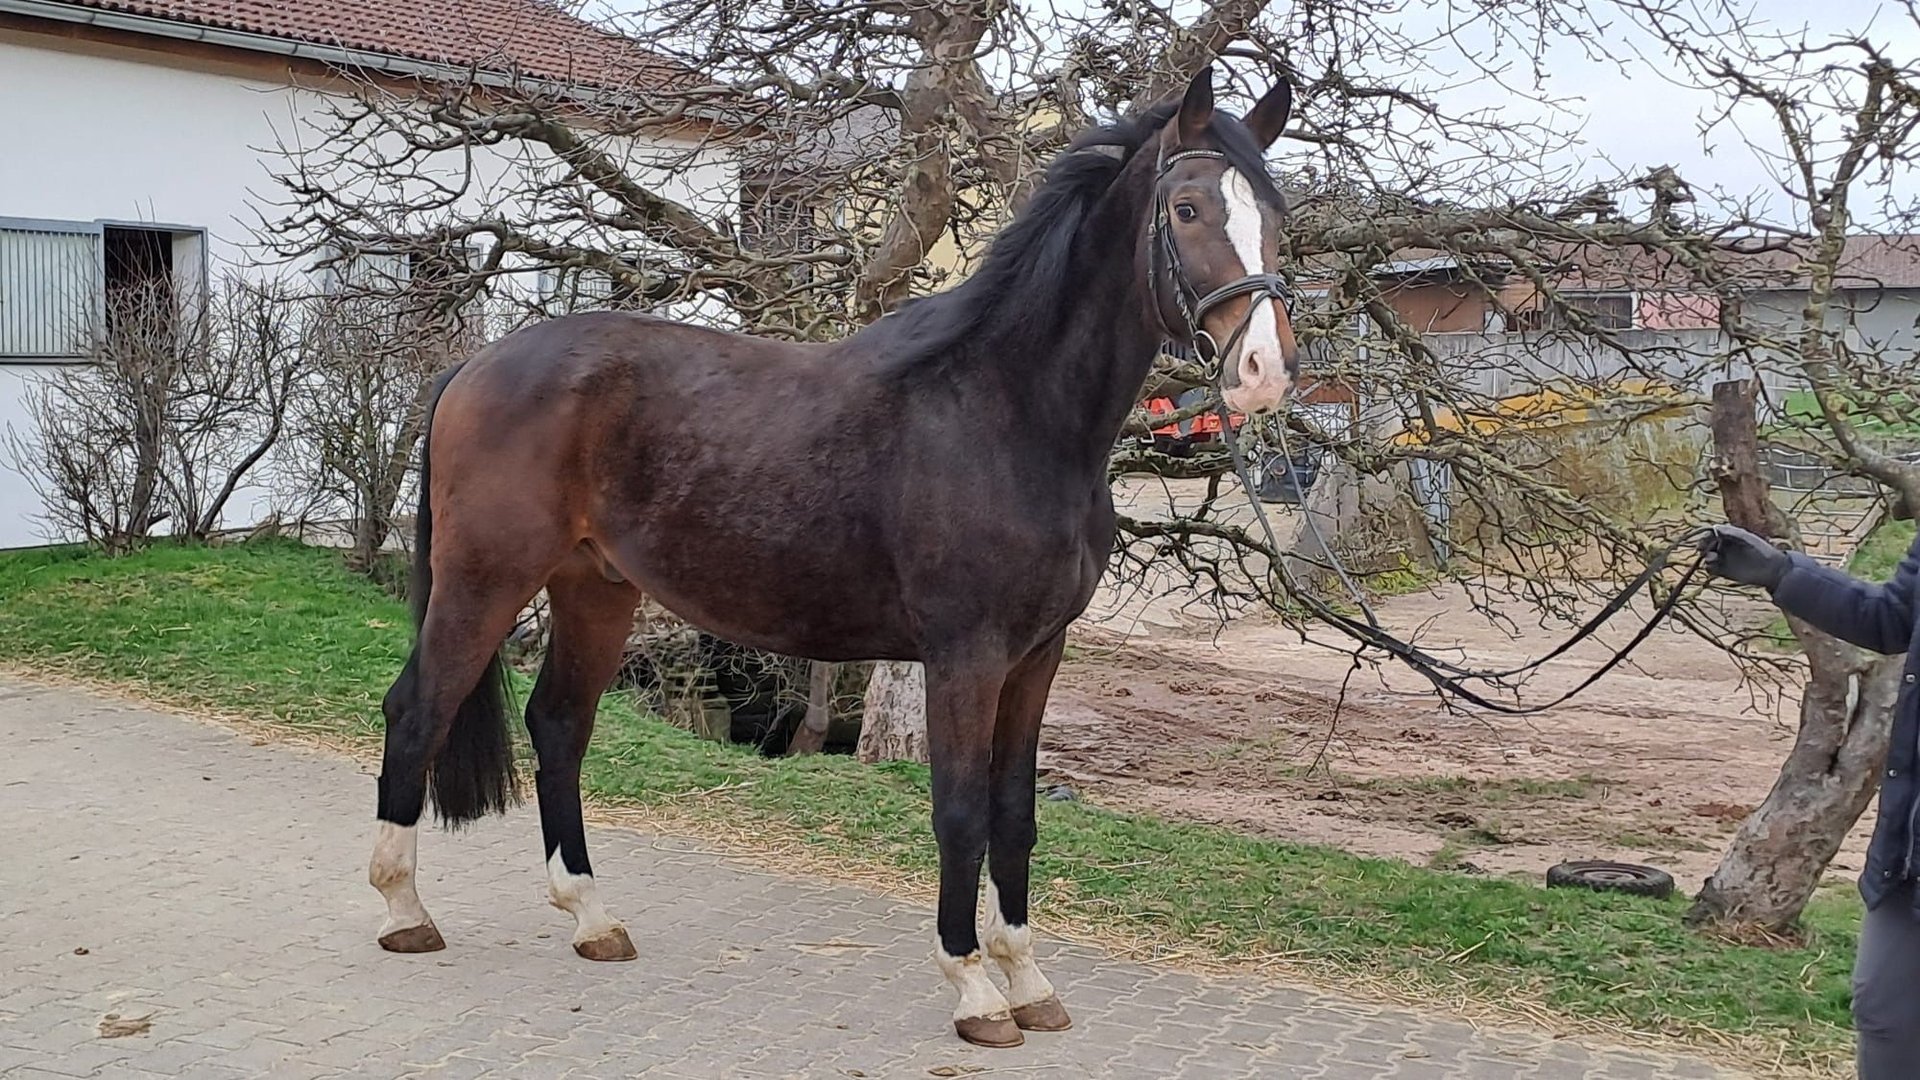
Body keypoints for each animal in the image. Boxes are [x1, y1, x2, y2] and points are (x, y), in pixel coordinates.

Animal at [369, 66, 1298, 1048]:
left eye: (1277, 214)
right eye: (1188, 208)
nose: (1266, 371)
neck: (1007, 414)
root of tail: (473, 367)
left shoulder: (1037, 657)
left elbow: (1014, 815)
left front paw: (1029, 980)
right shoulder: (966, 658)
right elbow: (960, 812)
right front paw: (974, 988)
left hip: (596, 590)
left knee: (558, 725)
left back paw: (593, 919)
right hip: (486, 580)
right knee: (417, 711)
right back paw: (404, 912)